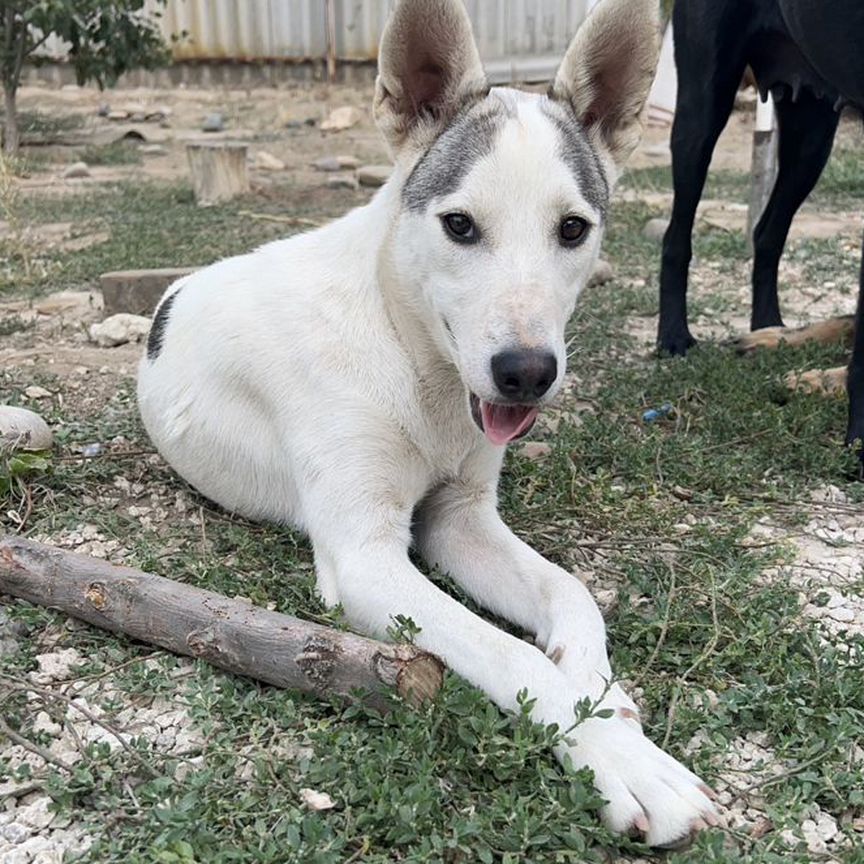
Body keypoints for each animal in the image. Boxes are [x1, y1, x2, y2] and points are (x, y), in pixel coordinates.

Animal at [138, 0, 720, 848]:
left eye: (573, 230)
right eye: (460, 225)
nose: (526, 373)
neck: (415, 363)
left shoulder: (462, 518)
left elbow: (573, 592)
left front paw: (603, 697)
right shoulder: (366, 559)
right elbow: (514, 657)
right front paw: (622, 757)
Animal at [660, 0, 860, 456]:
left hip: (812, 135)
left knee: (768, 232)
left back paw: (768, 326)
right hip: (703, 107)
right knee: (676, 236)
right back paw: (677, 336)